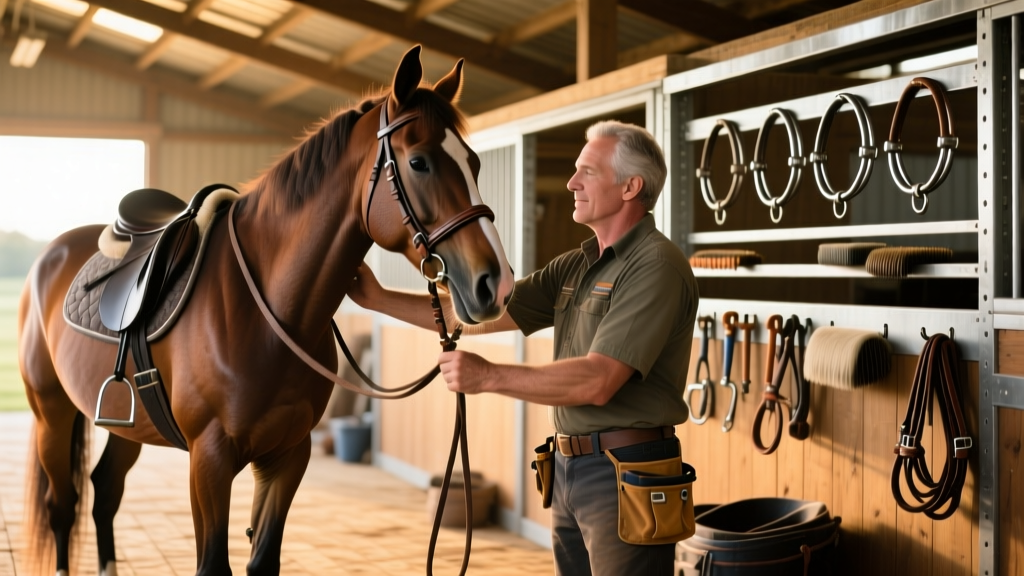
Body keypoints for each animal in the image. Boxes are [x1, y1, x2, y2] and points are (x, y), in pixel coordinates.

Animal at [16, 45, 515, 576]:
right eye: (419, 161)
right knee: (62, 505)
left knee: (105, 491)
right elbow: (214, 562)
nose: (497, 282)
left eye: (474, 164)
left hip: (124, 424)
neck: (266, 316)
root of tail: (52, 256)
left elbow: (263, 559)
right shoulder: (209, 460)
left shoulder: (287, 455)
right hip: (51, 412)